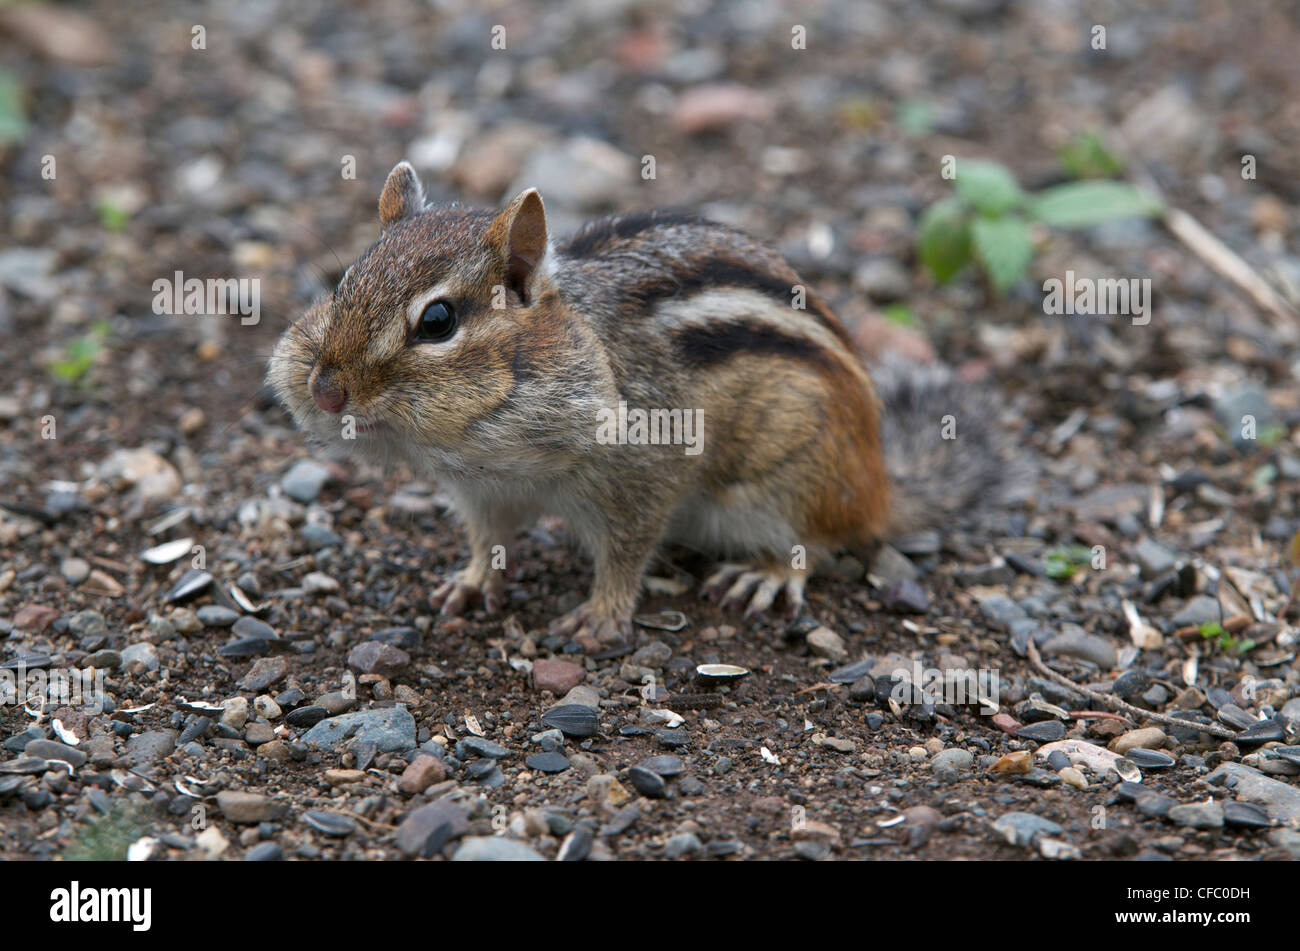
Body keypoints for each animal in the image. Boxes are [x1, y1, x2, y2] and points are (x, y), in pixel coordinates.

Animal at [268, 161, 1023, 642]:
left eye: (437, 321)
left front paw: (601, 617)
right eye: (343, 282)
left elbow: (627, 553)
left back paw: (766, 572)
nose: (325, 389)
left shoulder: (644, 469)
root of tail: (881, 483)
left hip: (791, 481)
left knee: (821, 540)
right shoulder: (483, 493)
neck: (485, 445)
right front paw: (471, 582)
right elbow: (486, 541)